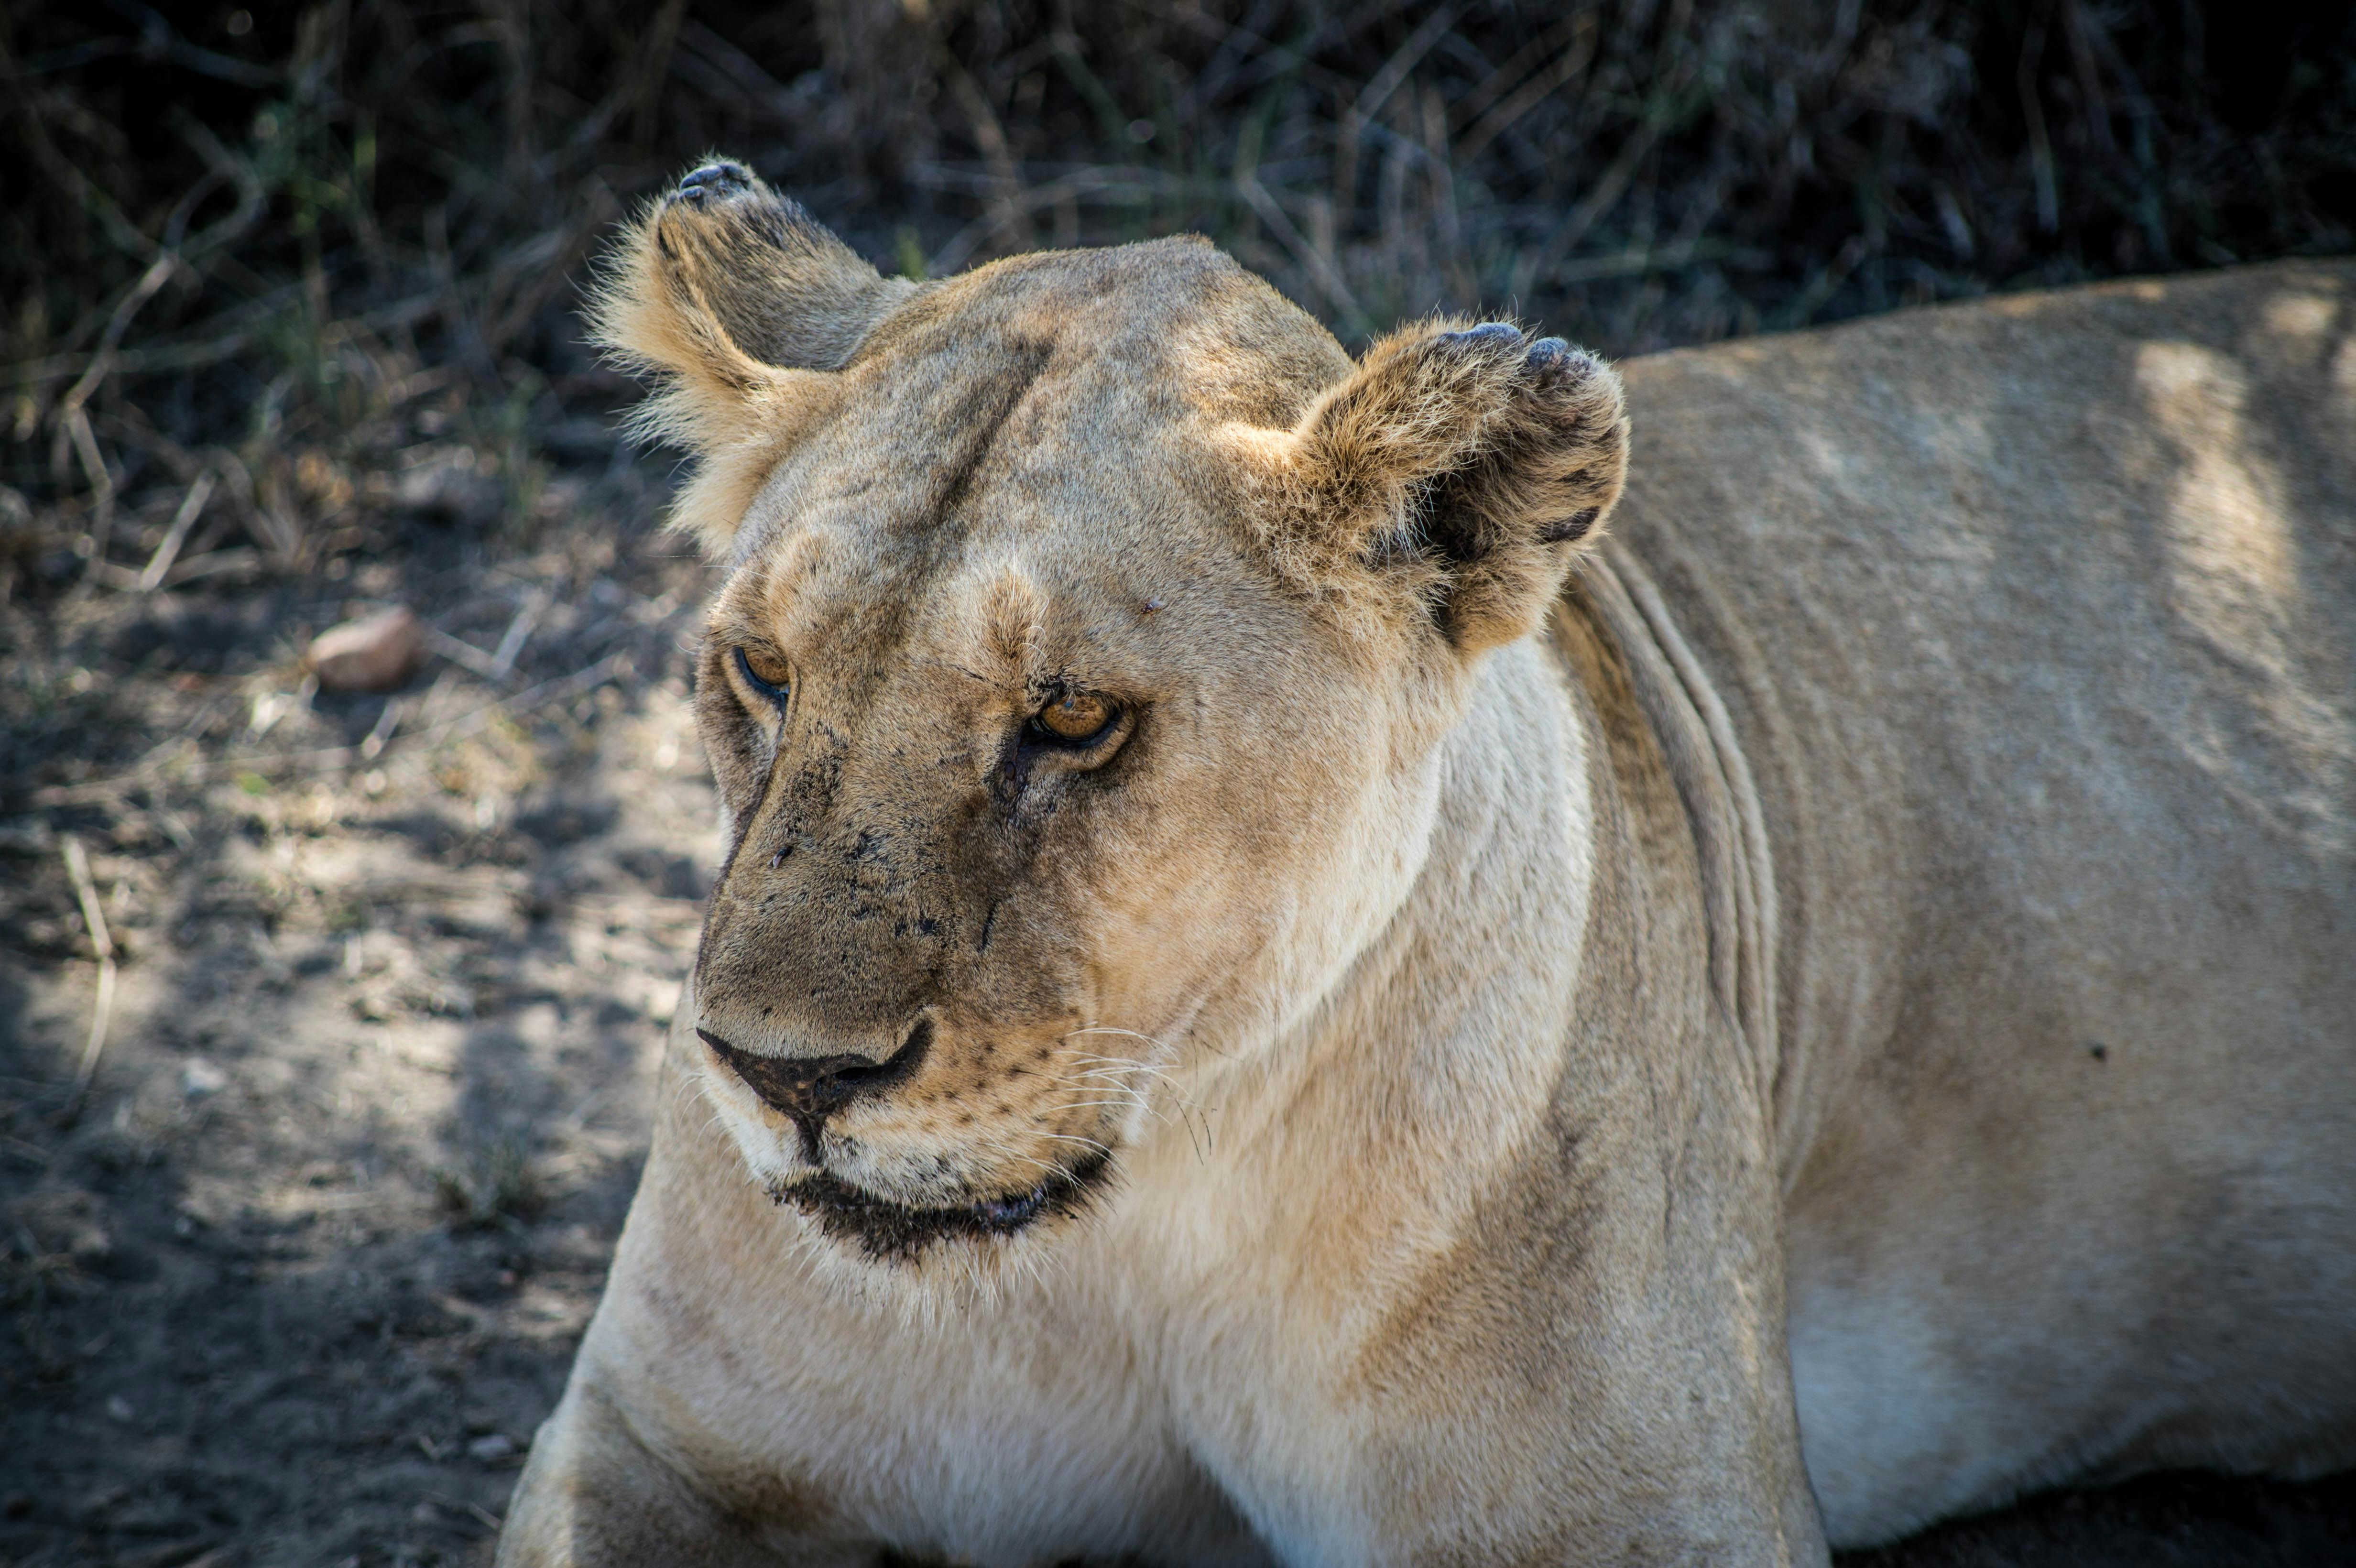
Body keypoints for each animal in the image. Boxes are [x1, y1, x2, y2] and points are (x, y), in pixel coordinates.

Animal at [497, 159, 2356, 1565]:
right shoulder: (652, 1435)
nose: (780, 1075)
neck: (1130, 1229)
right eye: (763, 670)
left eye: (1072, 719)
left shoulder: (1652, 1516)